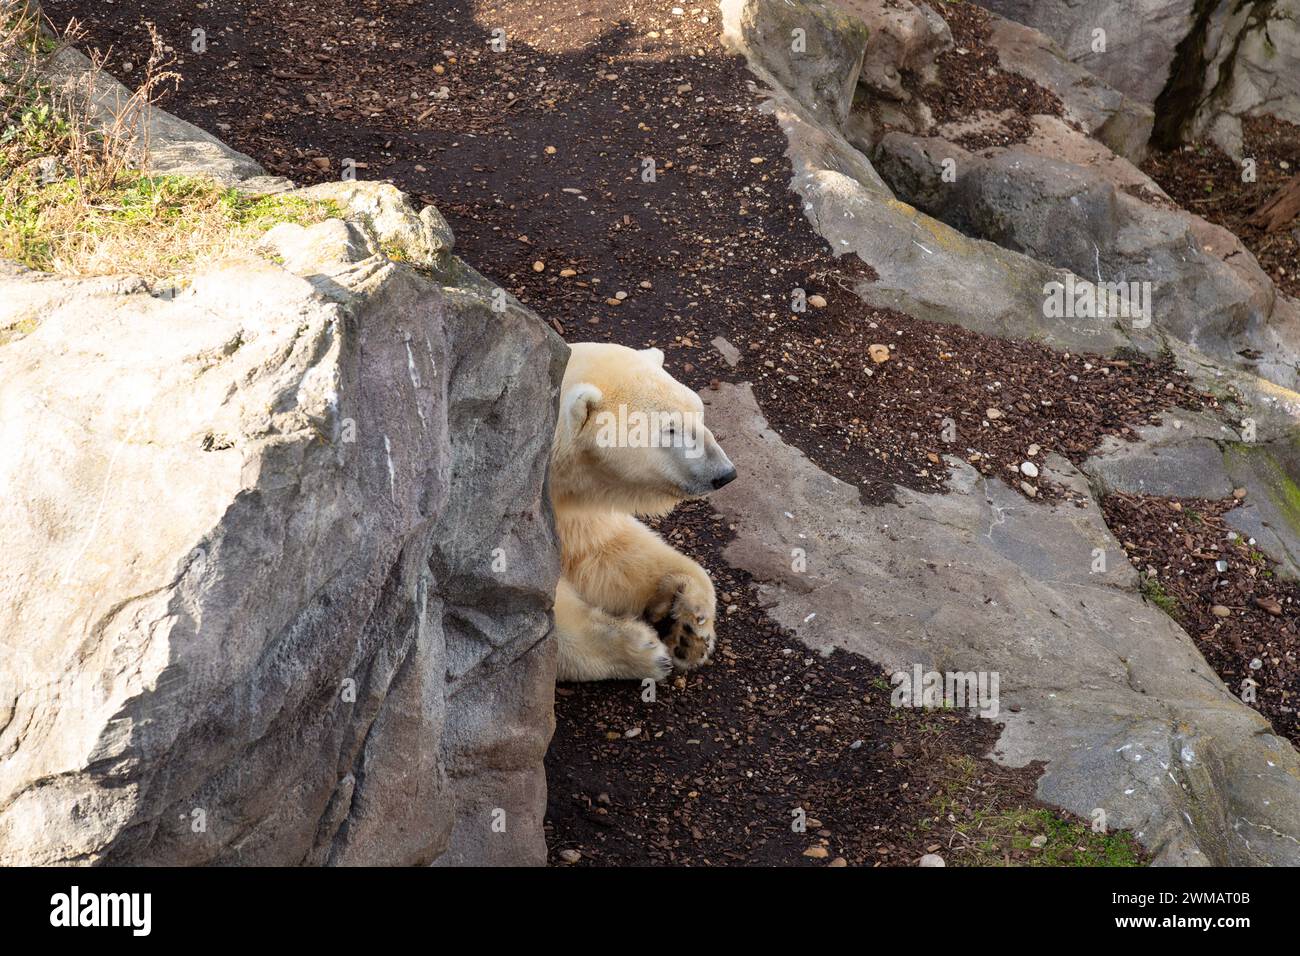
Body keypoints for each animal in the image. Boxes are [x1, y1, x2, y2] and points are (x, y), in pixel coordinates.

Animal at [550, 343, 737, 682]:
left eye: (699, 410)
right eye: (670, 429)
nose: (724, 473)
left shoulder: (573, 510)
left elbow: (604, 555)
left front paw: (689, 623)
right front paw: (641, 650)